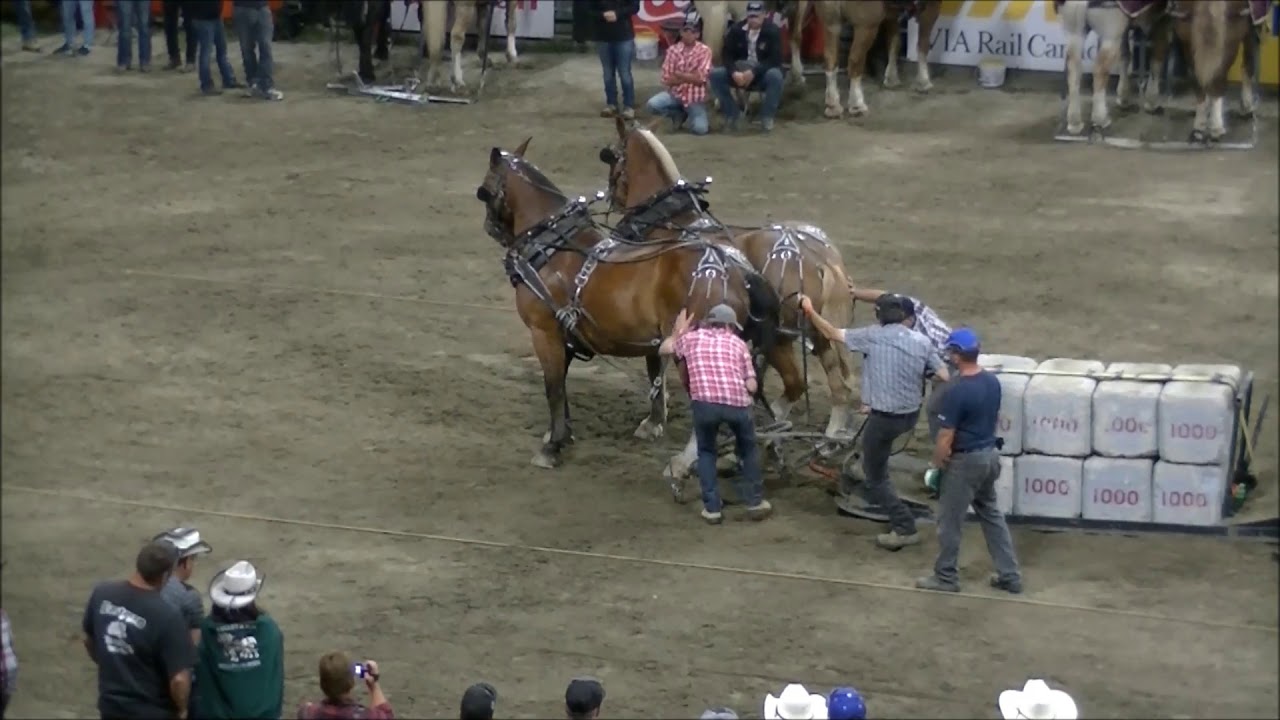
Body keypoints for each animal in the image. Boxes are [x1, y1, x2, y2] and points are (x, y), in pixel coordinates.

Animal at [475, 138, 782, 470]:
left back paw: (685, 463)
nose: (489, 227)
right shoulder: (565, 335)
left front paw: (551, 447)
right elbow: (563, 388)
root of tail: (735, 269)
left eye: (484, 191)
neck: (552, 250)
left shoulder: (544, 332)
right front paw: (563, 435)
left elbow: (553, 387)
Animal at [597, 118, 857, 481]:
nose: (615, 206)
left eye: (613, 159)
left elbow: (655, 367)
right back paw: (825, 440)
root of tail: (822, 258)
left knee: (800, 385)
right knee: (838, 387)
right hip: (818, 334)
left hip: (781, 338)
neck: (673, 223)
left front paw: (653, 422)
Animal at [787, 1, 942, 118]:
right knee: (854, 60)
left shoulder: (891, 12)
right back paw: (857, 104)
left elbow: (895, 42)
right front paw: (923, 81)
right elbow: (923, 44)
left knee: (821, 53)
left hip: (831, 22)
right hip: (866, 26)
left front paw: (891, 78)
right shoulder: (931, 7)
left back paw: (832, 104)